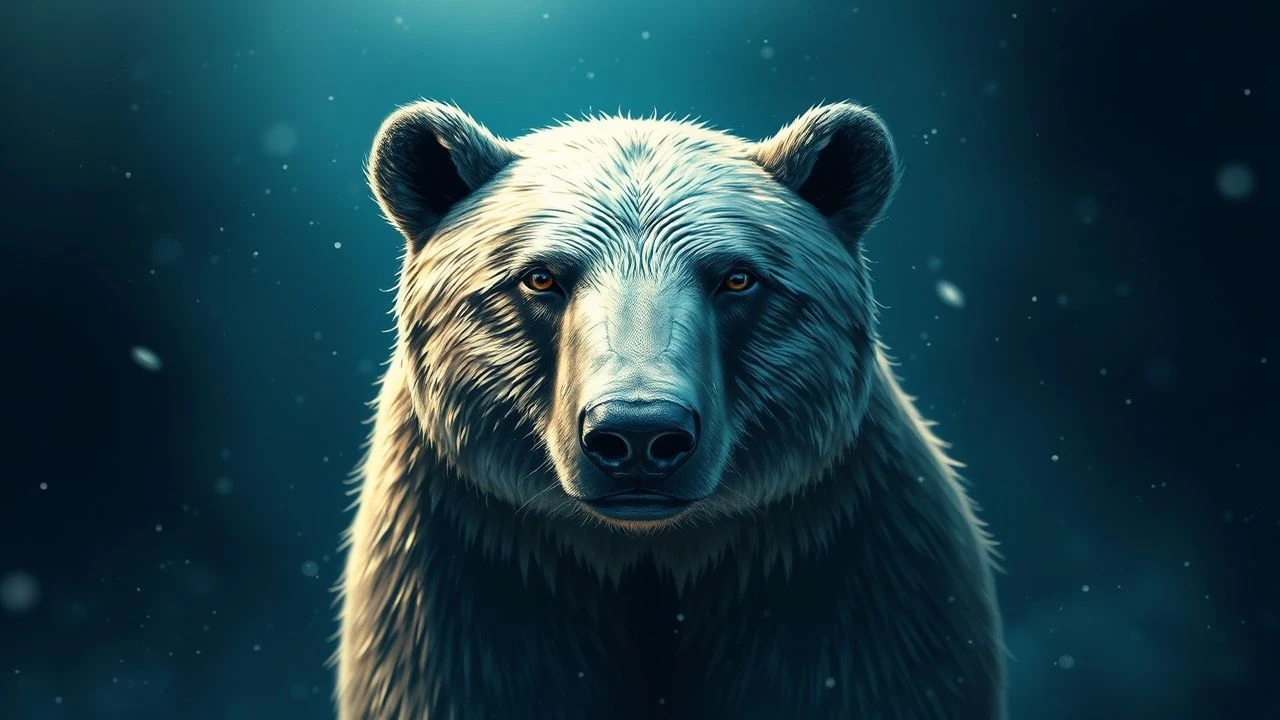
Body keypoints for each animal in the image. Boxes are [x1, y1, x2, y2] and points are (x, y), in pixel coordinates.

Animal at [335, 99, 1006, 720]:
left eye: (738, 277)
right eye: (539, 277)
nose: (638, 433)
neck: (649, 556)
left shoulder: (847, 571)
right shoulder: (463, 577)